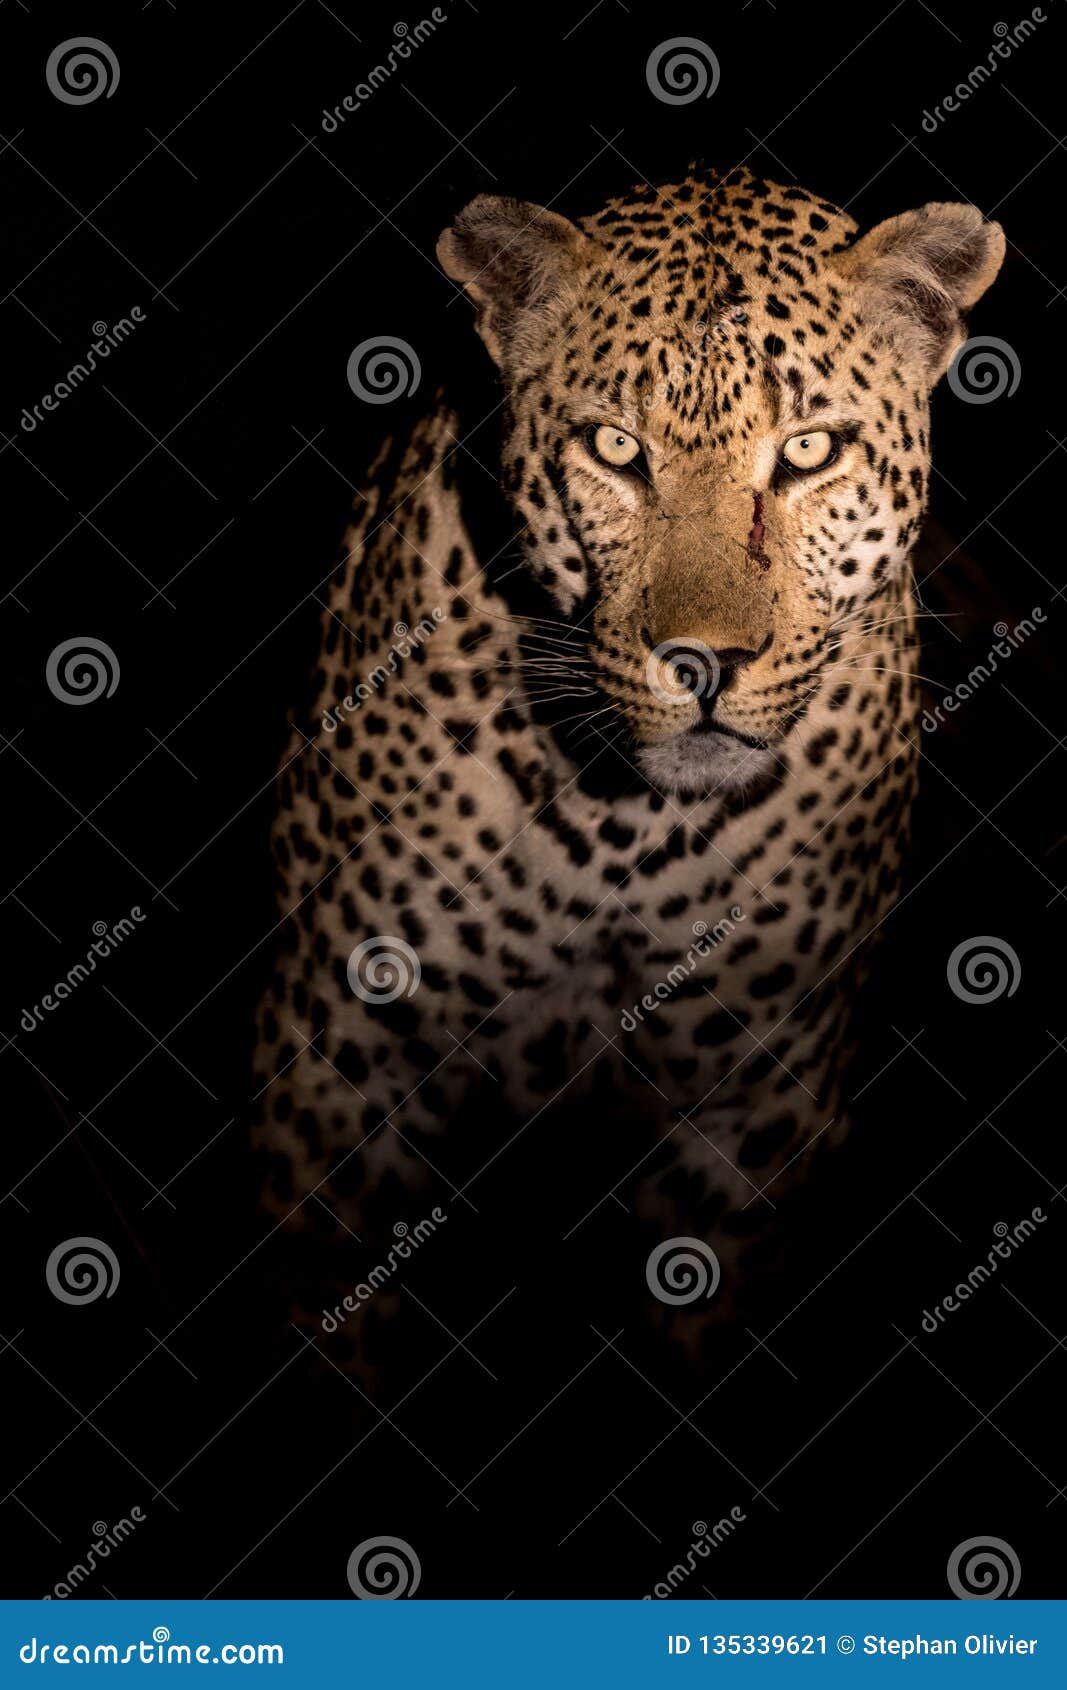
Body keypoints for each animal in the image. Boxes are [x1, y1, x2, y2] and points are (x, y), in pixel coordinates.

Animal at [250, 164, 1003, 1370]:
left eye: (807, 451)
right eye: (613, 450)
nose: (703, 660)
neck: (626, 834)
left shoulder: (758, 1100)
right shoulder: (336, 1050)